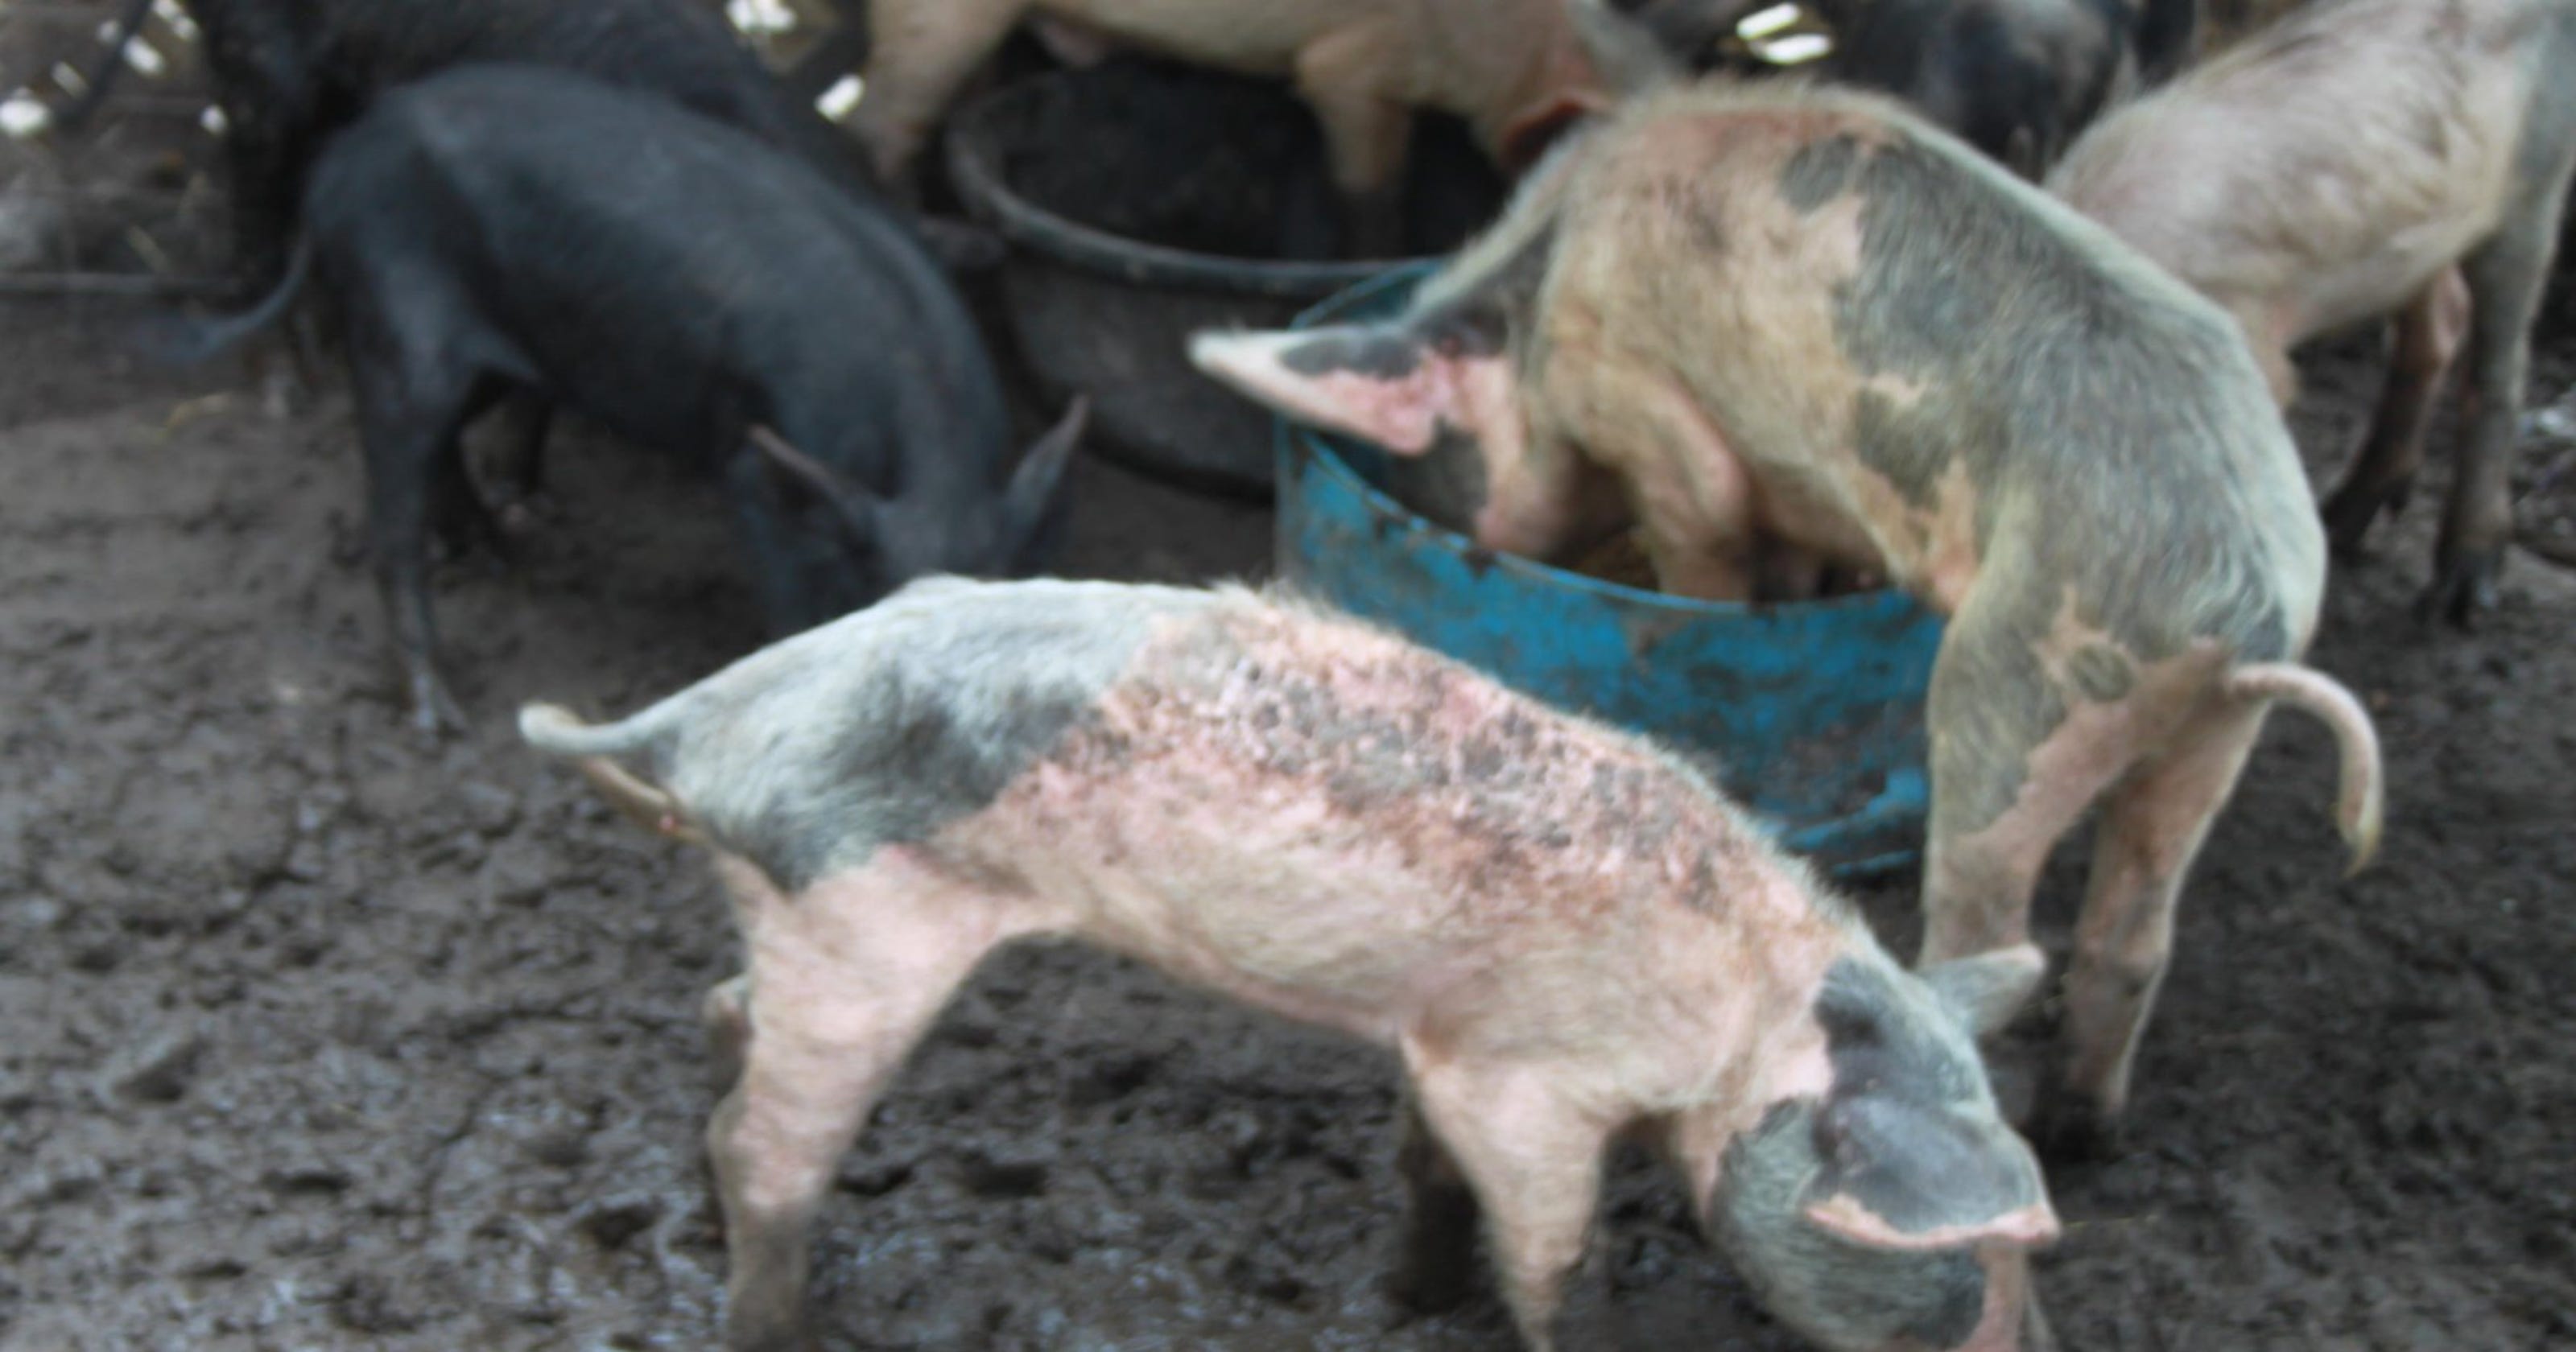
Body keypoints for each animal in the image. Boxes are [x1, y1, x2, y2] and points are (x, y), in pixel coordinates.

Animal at [177, 66, 1077, 735]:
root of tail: (338, 161)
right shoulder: (748, 463)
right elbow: (790, 599)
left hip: (501, 352)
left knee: (445, 449)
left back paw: (503, 555)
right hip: (397, 309)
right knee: (392, 498)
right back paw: (441, 716)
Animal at [519, 576, 2063, 1352]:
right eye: (1978, 1254)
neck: (1748, 1022)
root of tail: (699, 723)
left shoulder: (1447, 1043)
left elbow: (1425, 1167)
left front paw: (1411, 1299)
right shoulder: (1533, 1083)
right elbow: (1557, 1256)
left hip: (802, 924)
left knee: (720, 1011)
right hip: (861, 919)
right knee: (765, 1145)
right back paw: (784, 1321)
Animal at [1190, 70, 2386, 1155]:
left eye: (1436, 468)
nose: (1482, 536)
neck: (1543, 293)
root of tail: (2237, 608)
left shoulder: (1644, 406)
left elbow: (1707, 542)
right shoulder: (1795, 484)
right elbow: (1801, 559)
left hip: (2024, 689)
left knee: (1993, 918)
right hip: (2206, 733)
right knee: (2134, 936)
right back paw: (2081, 1134)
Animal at [2048, 0, 2576, 621]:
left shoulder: (2252, 347)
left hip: (2533, 185)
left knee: (2498, 366)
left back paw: (2459, 600)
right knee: (2440, 325)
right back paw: (2345, 523)